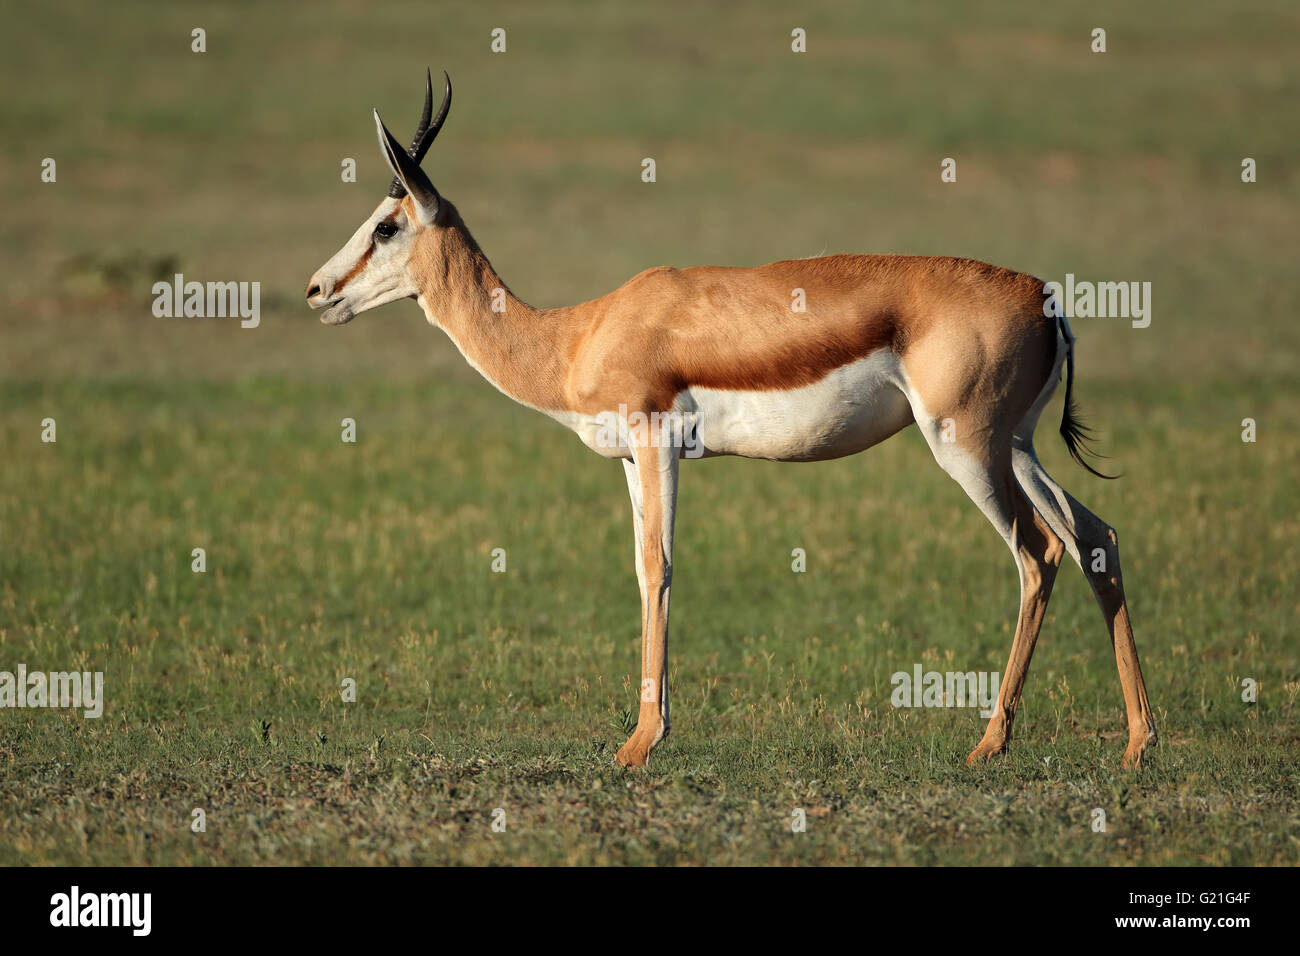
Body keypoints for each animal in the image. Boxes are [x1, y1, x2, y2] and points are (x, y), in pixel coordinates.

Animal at [306, 71, 1158, 769]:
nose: (317, 290)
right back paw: (1138, 744)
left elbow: (658, 569)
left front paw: (640, 744)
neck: (576, 334)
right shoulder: (631, 461)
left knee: (1037, 552)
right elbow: (642, 569)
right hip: (1016, 446)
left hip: (968, 449)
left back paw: (990, 743)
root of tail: (1044, 297)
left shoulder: (656, 443)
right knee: (1095, 537)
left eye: (386, 225)